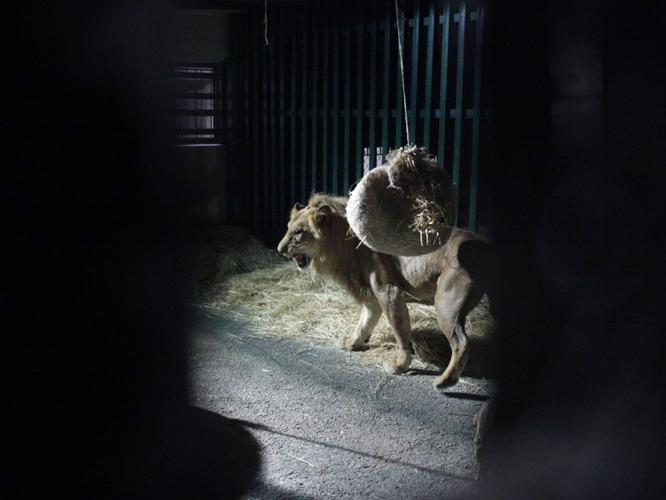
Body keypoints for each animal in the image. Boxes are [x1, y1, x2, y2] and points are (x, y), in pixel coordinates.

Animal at [277, 193, 493, 389]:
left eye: (298, 232)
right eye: (288, 229)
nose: (280, 250)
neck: (343, 244)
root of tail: (484, 246)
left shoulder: (389, 293)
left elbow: (400, 333)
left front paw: (399, 366)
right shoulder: (372, 298)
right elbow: (365, 322)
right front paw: (352, 343)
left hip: (446, 304)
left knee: (461, 343)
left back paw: (445, 381)